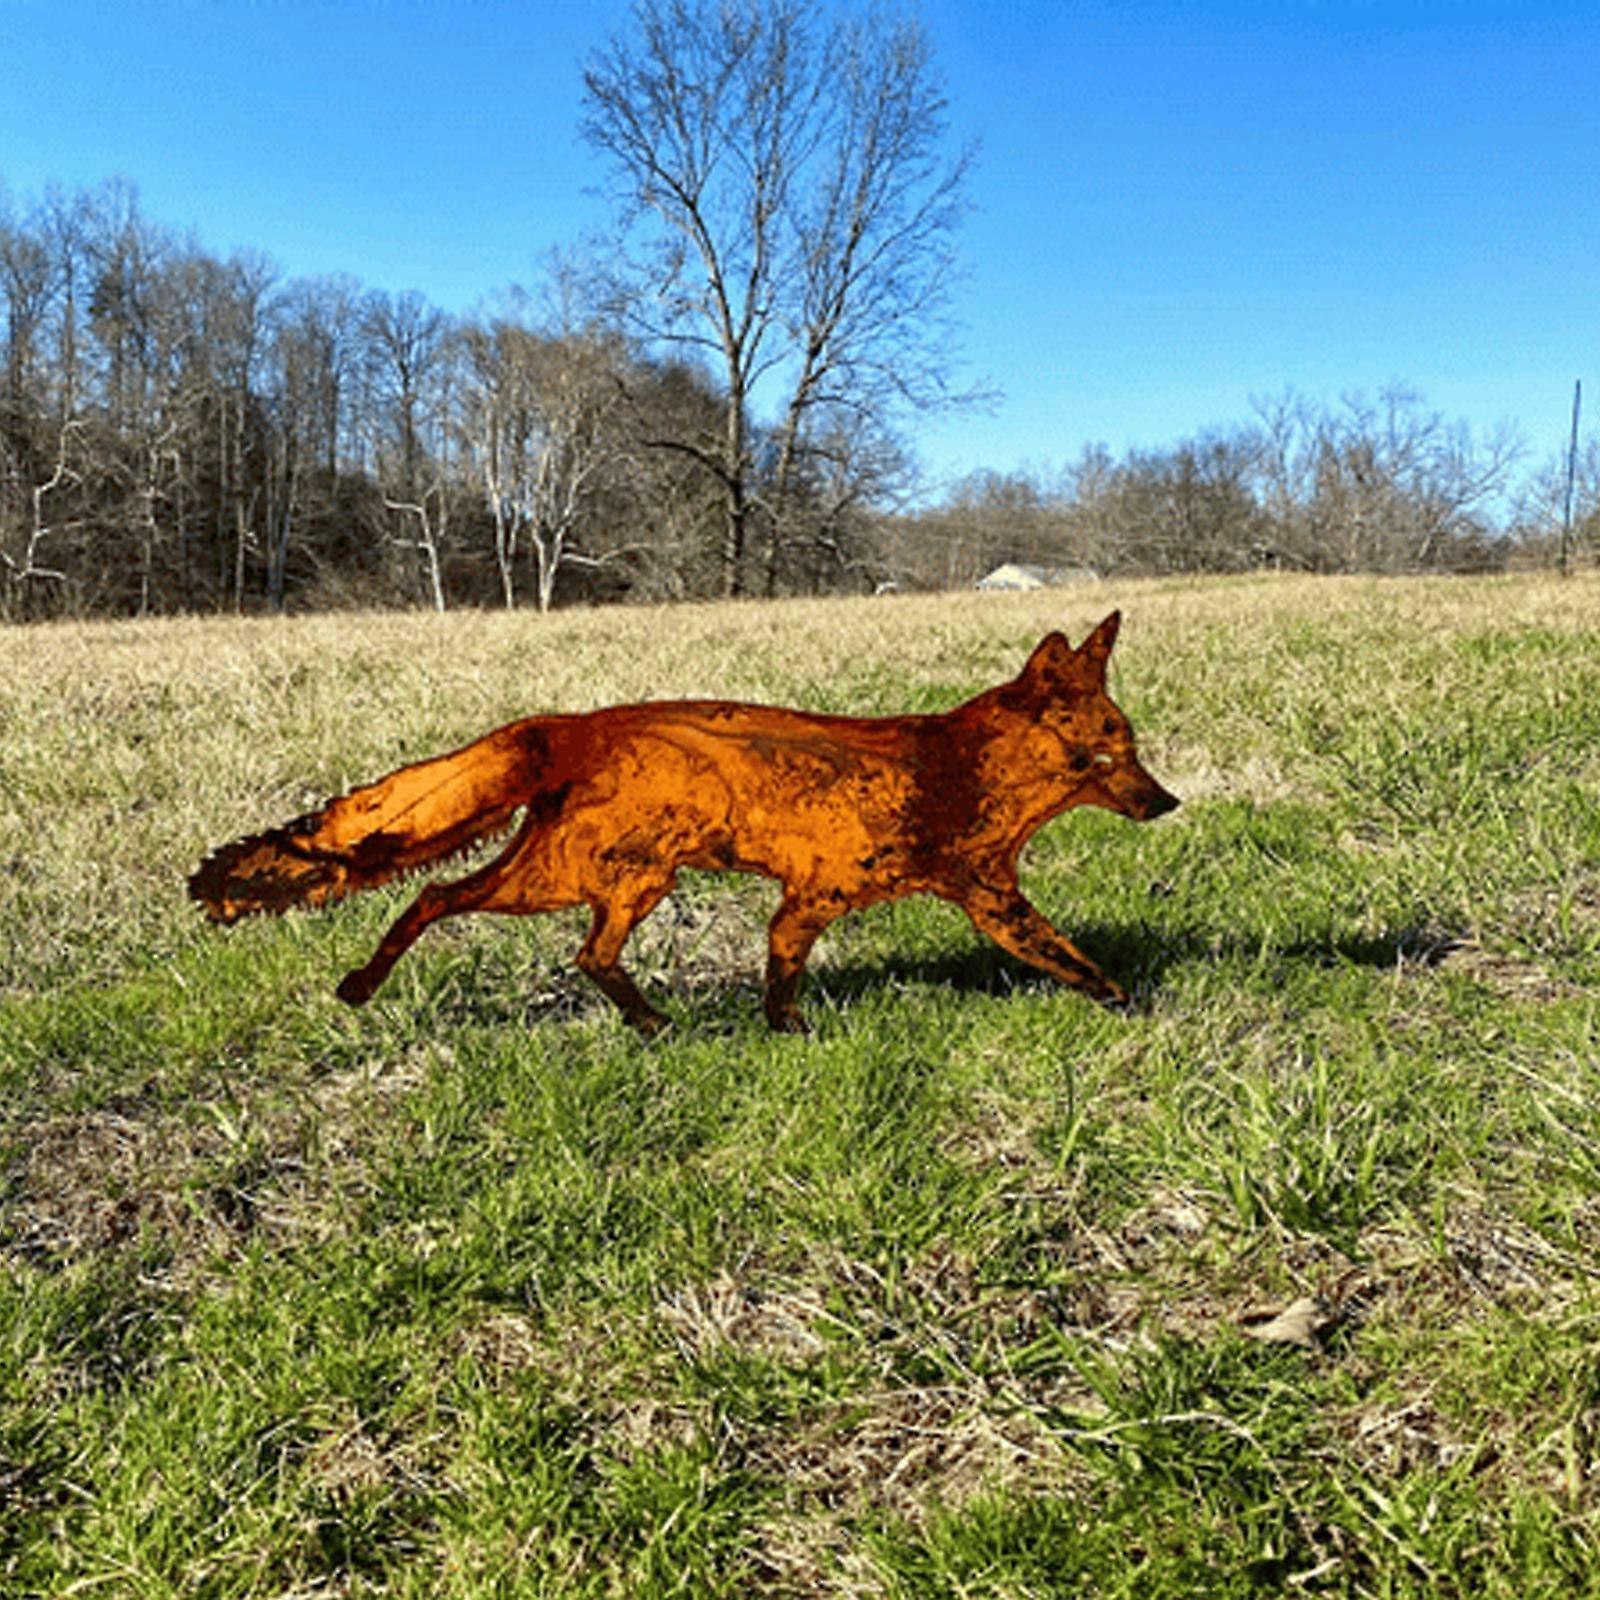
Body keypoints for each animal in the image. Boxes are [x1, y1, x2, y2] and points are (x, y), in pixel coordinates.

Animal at [189, 611, 1177, 1035]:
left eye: (1132, 749)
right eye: (1104, 758)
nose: (1166, 804)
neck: (957, 775)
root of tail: (568, 724)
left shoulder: (910, 899)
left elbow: (782, 978)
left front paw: (781, 1033)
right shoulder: (836, 896)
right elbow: (1071, 958)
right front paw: (1136, 1007)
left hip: (613, 882)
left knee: (578, 954)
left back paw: (652, 1026)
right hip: (571, 877)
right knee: (440, 898)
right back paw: (364, 984)